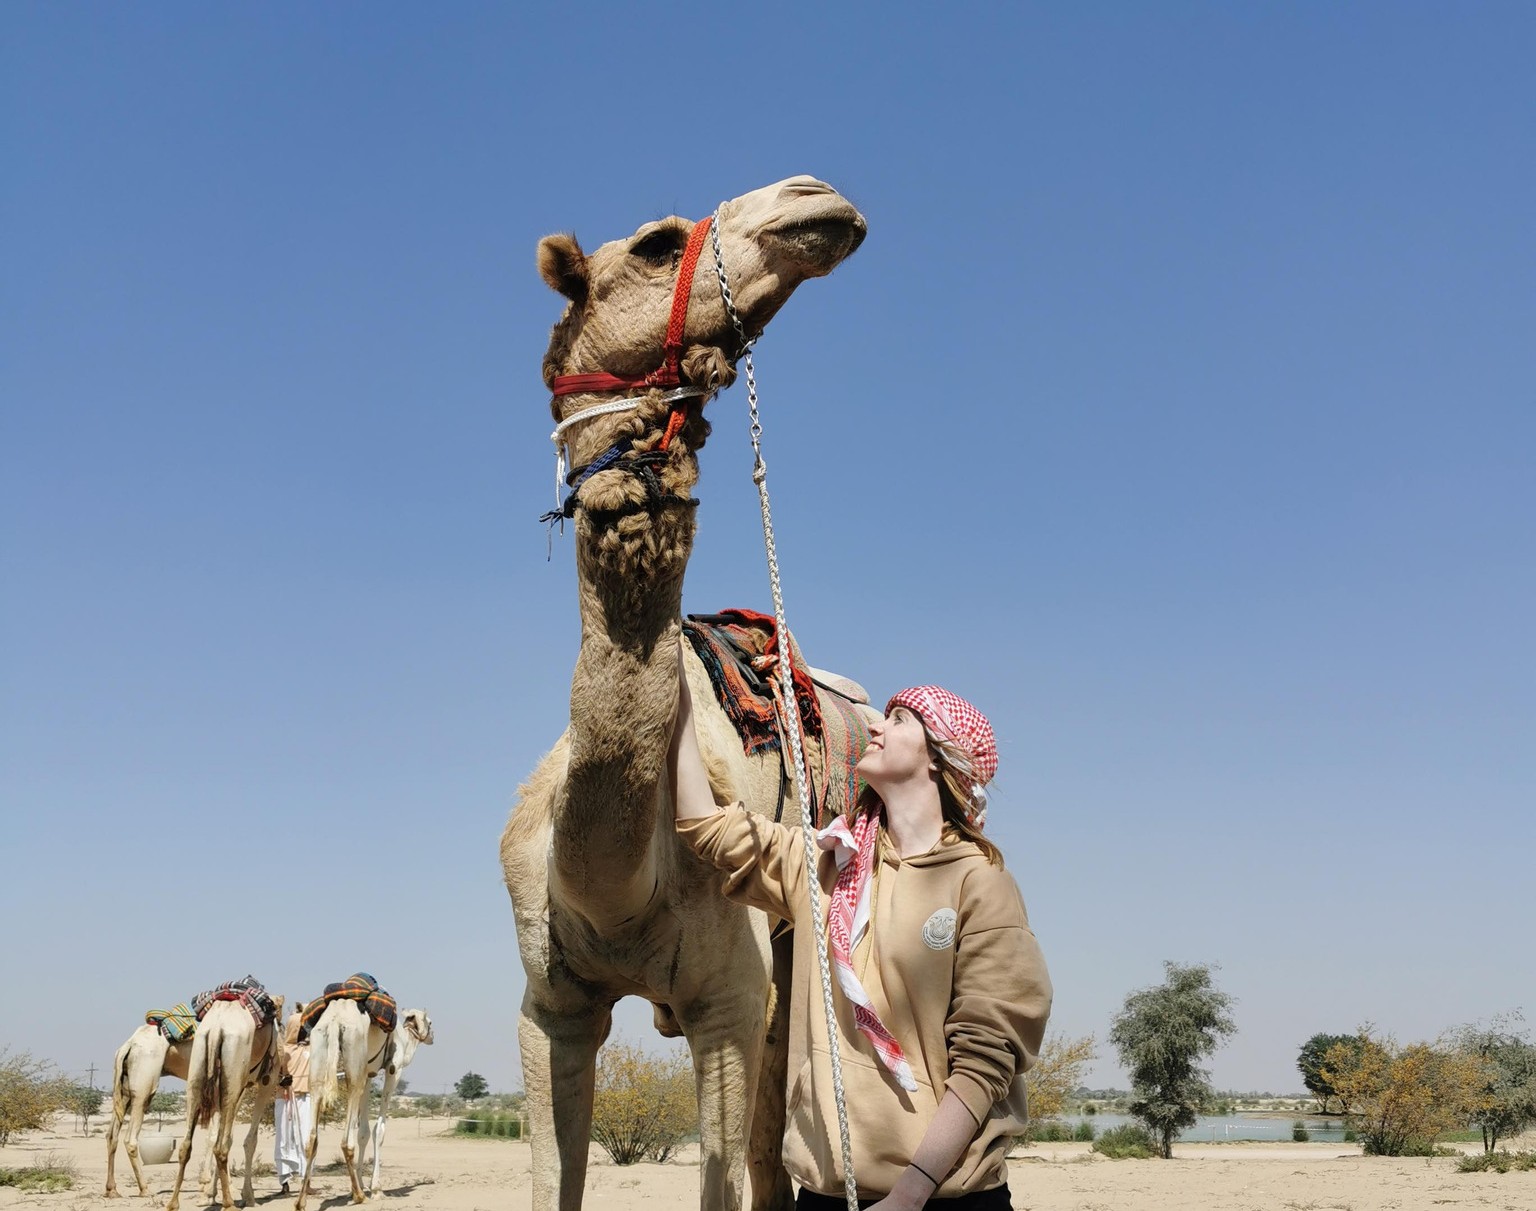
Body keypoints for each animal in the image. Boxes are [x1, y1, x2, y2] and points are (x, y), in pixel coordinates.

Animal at [166, 995, 284, 1211]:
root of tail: (215, 1029)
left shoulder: (238, 1086)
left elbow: (222, 1136)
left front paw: (210, 1194)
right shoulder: (267, 1082)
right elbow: (249, 1140)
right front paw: (248, 1196)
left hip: (199, 1067)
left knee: (187, 1145)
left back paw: (173, 1203)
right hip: (234, 1068)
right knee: (220, 1147)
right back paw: (229, 1203)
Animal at [295, 1002, 434, 1208]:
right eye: (429, 1022)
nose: (432, 1037)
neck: (404, 1039)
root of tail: (336, 1020)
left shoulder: (369, 1074)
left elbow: (363, 1132)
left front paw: (361, 1184)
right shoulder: (394, 1070)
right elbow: (378, 1130)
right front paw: (375, 1189)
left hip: (319, 1053)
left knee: (312, 1135)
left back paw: (301, 1202)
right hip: (354, 1058)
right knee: (346, 1140)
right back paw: (359, 1196)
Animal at [501, 175, 867, 1211]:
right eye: (659, 243)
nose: (816, 199)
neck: (618, 883)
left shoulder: (726, 1002)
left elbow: (726, 1171)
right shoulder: (549, 1008)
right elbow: (553, 1179)